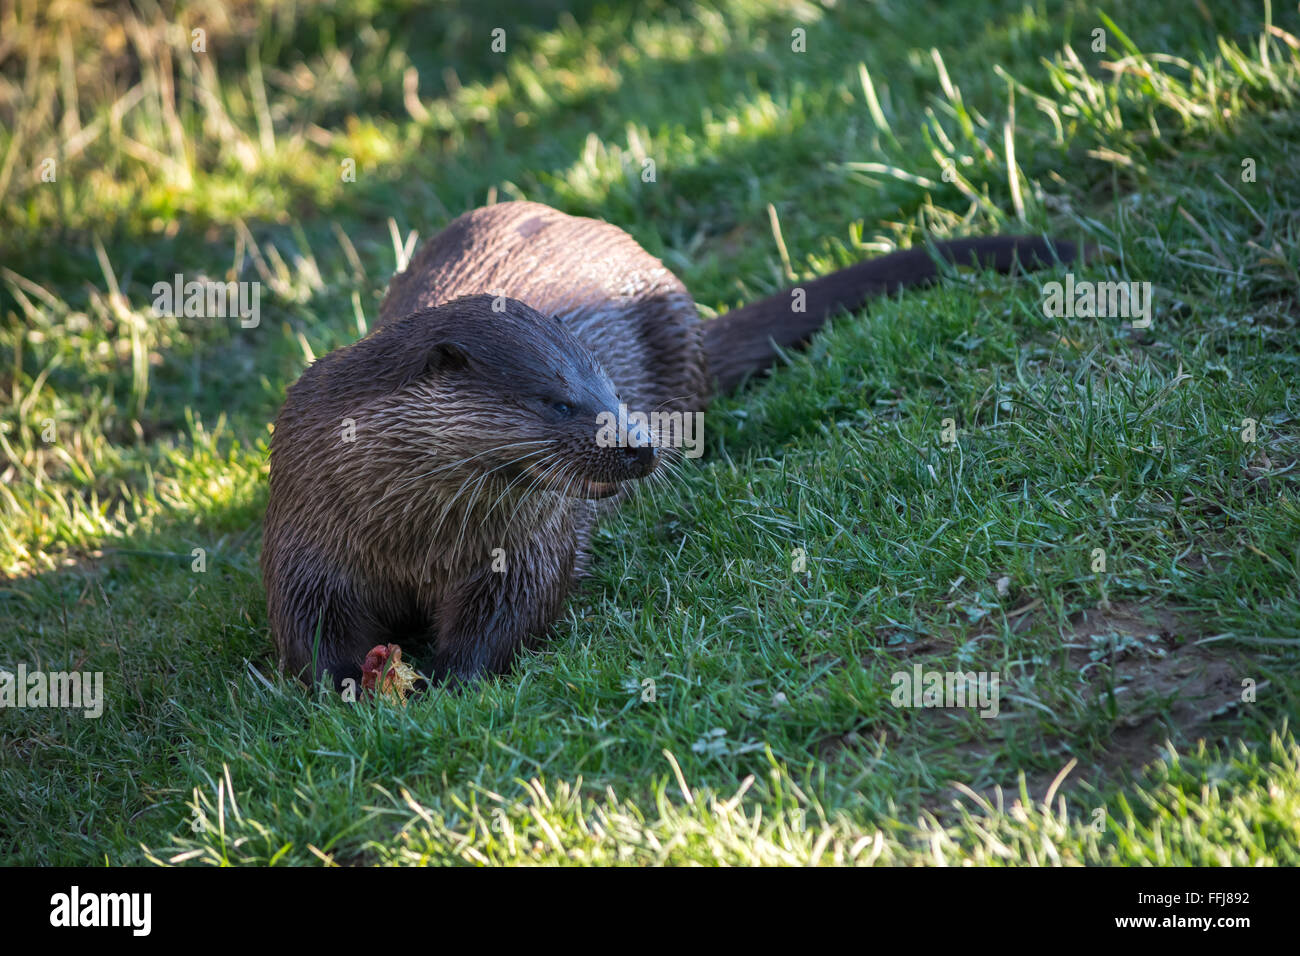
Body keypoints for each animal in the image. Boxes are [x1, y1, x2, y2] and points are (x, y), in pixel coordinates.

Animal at [262, 201, 1080, 688]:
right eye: (562, 401)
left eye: (611, 392)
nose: (639, 448)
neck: (410, 537)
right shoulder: (305, 533)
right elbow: (306, 626)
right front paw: (344, 683)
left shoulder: (527, 544)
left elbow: (514, 611)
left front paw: (454, 679)